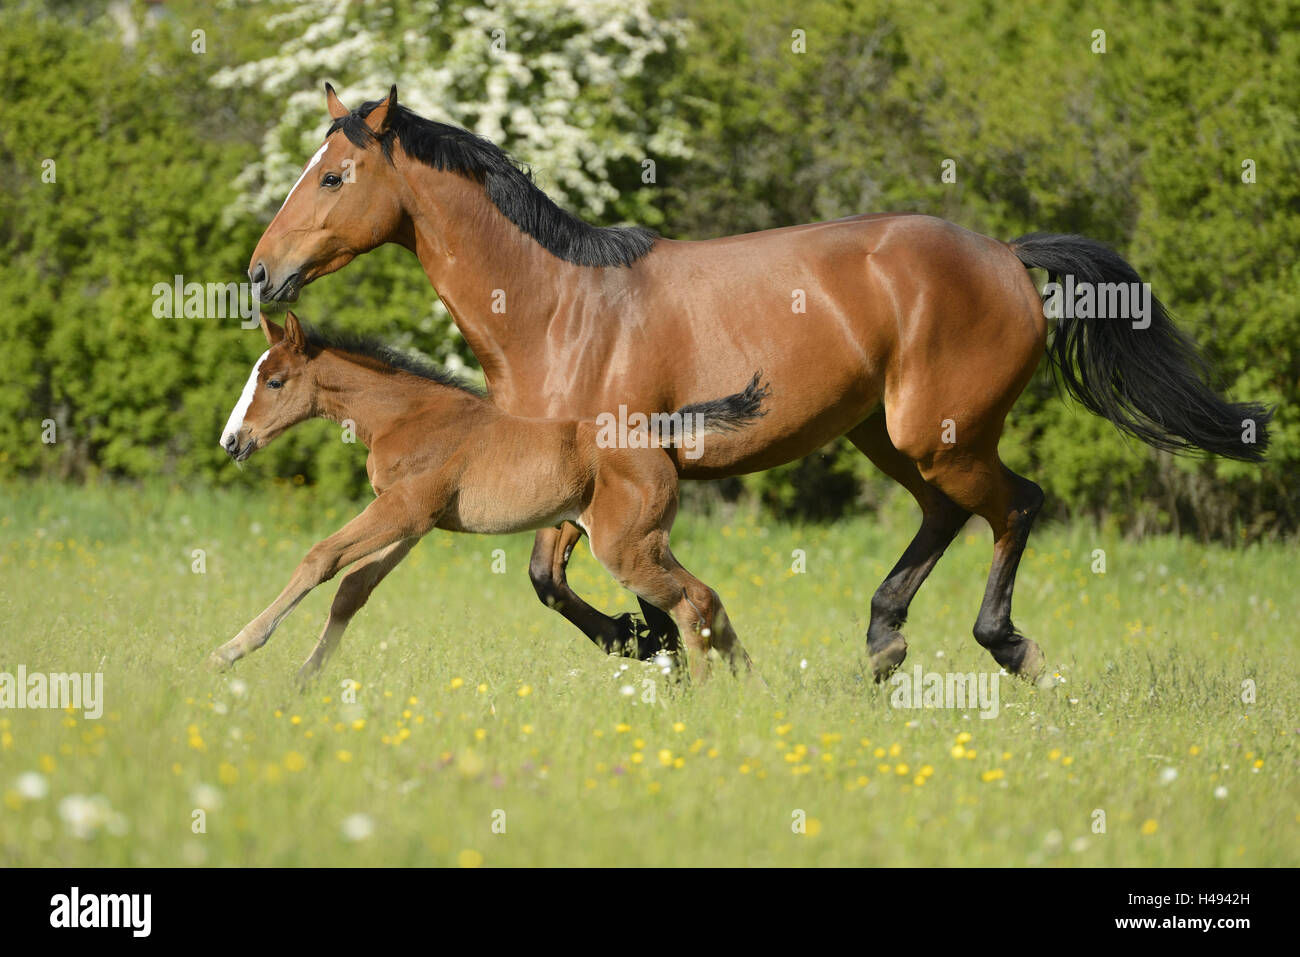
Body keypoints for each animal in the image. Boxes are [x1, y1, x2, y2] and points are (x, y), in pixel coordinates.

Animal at [208, 311, 769, 682]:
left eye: (275, 381)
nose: (232, 441)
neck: (404, 417)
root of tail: (655, 433)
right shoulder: (413, 523)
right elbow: (352, 589)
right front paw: (305, 679)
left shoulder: (403, 509)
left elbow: (319, 559)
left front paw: (231, 650)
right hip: (647, 543)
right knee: (705, 596)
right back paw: (752, 690)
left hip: (623, 551)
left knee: (687, 608)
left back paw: (704, 699)